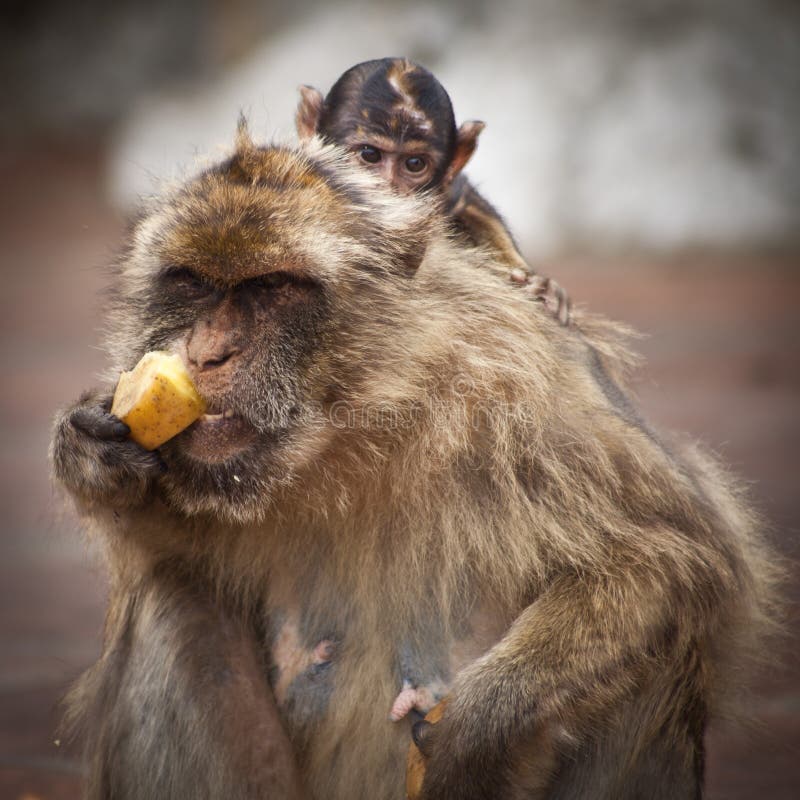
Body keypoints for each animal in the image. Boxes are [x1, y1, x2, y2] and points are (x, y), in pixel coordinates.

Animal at [51, 123, 778, 800]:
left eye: (273, 288)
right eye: (193, 284)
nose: (207, 354)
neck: (356, 423)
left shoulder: (525, 387)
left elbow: (673, 550)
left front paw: (480, 726)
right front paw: (88, 453)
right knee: (175, 599)